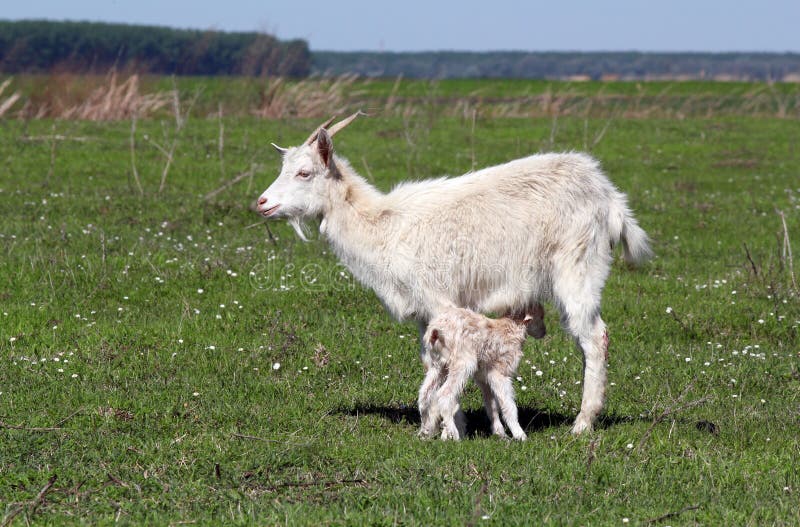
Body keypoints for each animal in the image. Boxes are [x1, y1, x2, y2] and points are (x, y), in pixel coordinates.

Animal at [420, 307, 531, 441]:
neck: (509, 327)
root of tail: (435, 332)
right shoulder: (499, 373)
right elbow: (508, 404)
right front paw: (520, 435)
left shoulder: (483, 379)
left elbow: (491, 405)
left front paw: (500, 433)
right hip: (462, 364)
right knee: (444, 394)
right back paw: (453, 434)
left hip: (438, 367)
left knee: (424, 394)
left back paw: (426, 431)